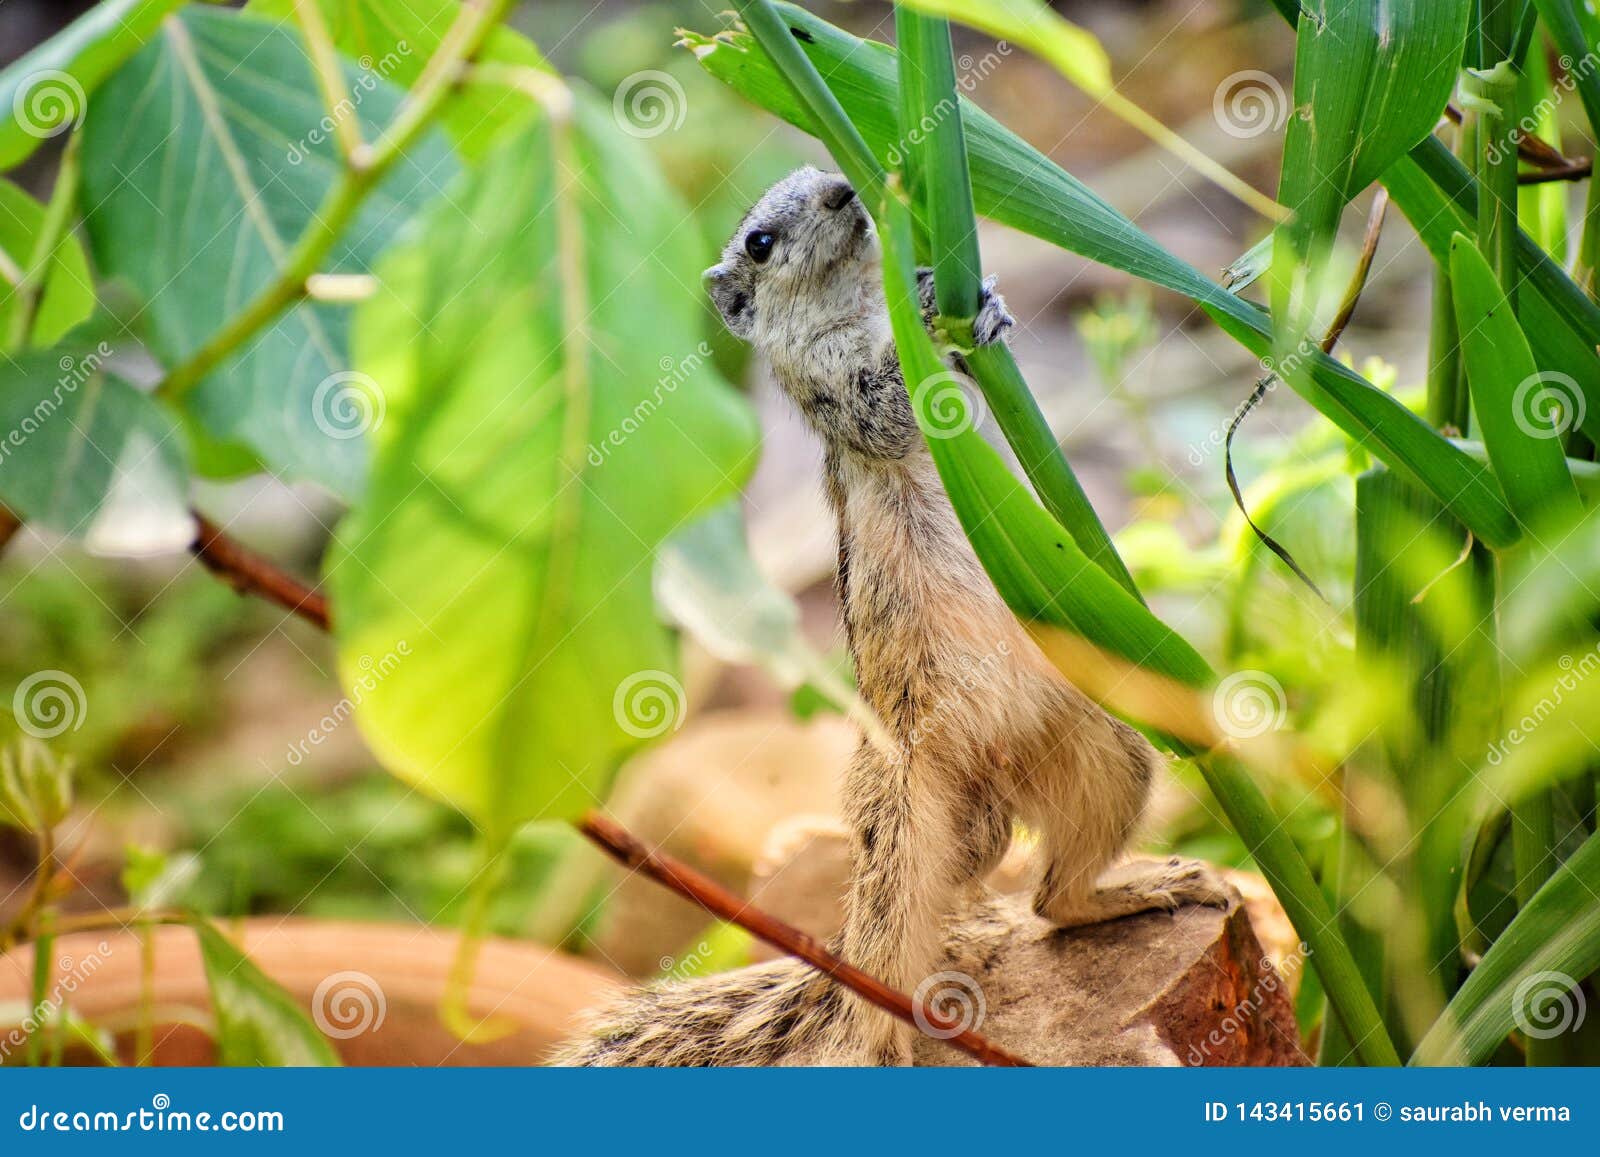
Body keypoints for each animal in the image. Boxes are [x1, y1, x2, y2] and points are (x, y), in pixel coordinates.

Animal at [551, 167, 1233, 1067]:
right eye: (759, 242)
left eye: (817, 176)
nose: (847, 187)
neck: (859, 311)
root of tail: (990, 775)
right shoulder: (838, 391)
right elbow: (888, 408)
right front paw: (940, 317)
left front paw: (974, 301)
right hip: (901, 828)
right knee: (893, 961)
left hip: (1104, 753)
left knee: (1046, 897)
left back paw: (1139, 888)